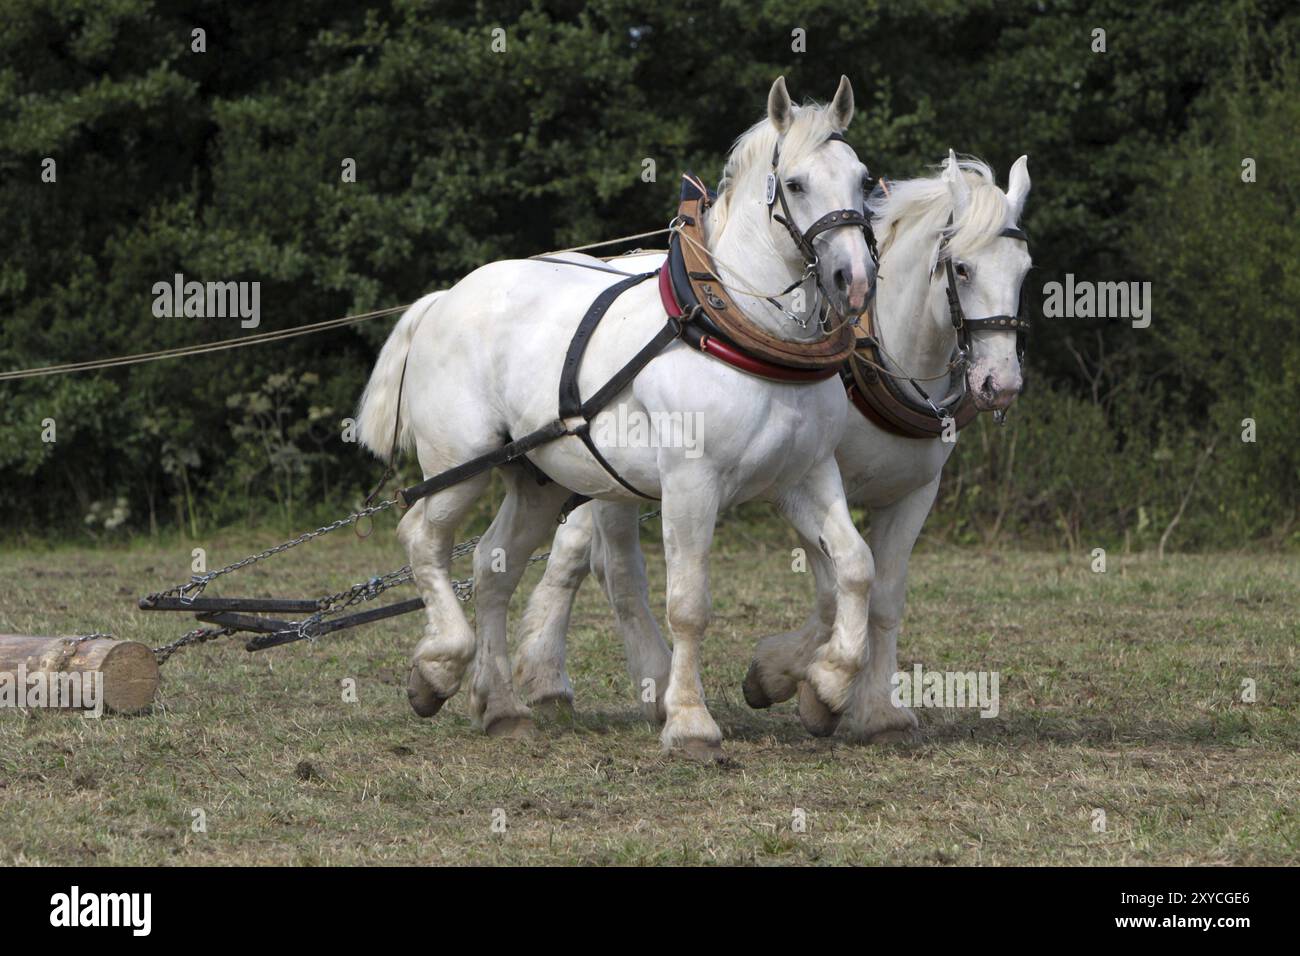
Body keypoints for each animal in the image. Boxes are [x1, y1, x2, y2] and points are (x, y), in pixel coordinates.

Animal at [356, 76, 880, 759]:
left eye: (864, 179)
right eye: (794, 184)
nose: (854, 280)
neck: (743, 329)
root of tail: (445, 297)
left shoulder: (804, 476)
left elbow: (854, 567)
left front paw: (824, 686)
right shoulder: (691, 484)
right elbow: (688, 603)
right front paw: (690, 722)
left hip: (538, 481)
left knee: (493, 568)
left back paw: (501, 706)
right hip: (460, 464)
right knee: (424, 539)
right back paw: (439, 664)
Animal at [511, 152, 1033, 743]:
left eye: (1024, 270)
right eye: (962, 268)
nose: (1000, 382)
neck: (881, 351)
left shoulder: (914, 493)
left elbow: (882, 596)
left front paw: (878, 709)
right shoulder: (800, 480)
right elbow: (831, 589)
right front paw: (791, 678)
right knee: (592, 556)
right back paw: (557, 676)